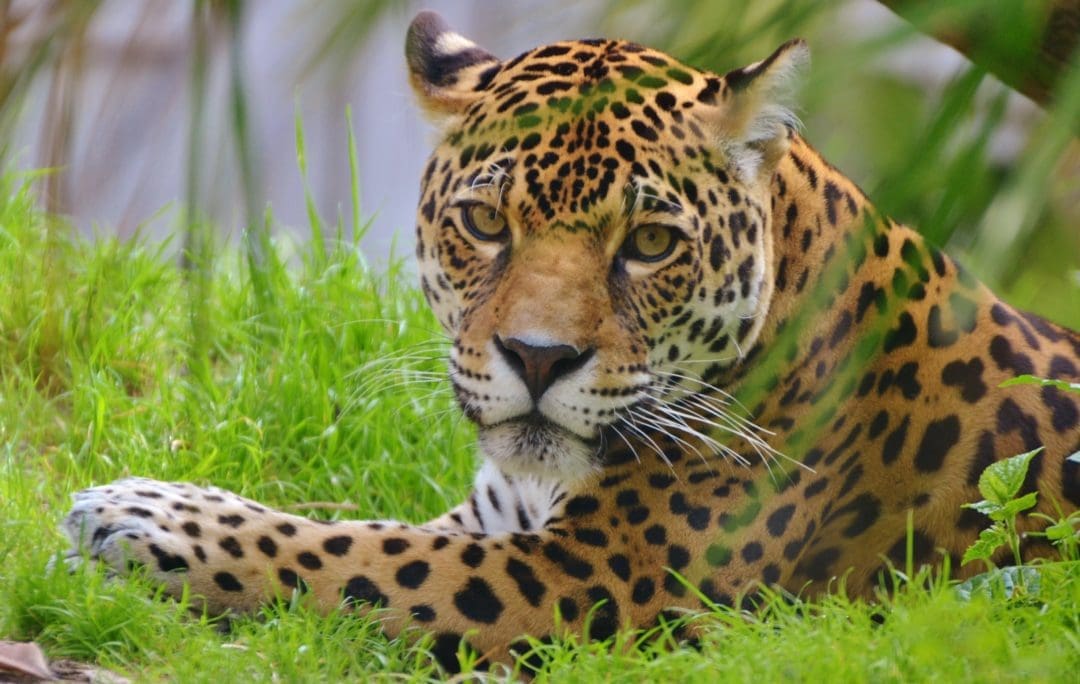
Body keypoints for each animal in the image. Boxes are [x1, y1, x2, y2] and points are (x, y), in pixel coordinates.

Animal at [61, 10, 1080, 673]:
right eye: (484, 223)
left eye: (651, 243)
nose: (539, 358)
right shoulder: (494, 520)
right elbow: (360, 526)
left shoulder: (595, 579)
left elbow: (348, 557)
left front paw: (143, 518)